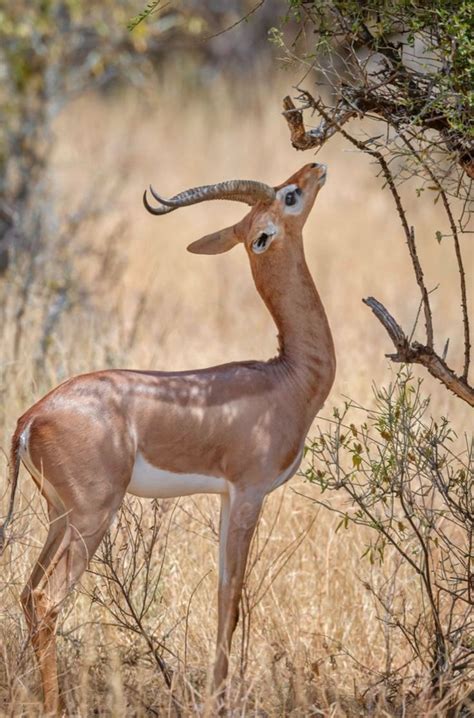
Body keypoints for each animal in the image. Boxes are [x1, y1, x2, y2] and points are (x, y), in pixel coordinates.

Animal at [0, 162, 336, 714]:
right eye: (290, 196)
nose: (315, 167)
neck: (286, 377)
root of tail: (30, 418)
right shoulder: (250, 493)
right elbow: (232, 596)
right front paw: (218, 699)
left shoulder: (226, 497)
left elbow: (223, 594)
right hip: (92, 518)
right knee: (48, 600)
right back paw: (57, 706)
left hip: (58, 517)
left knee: (28, 594)